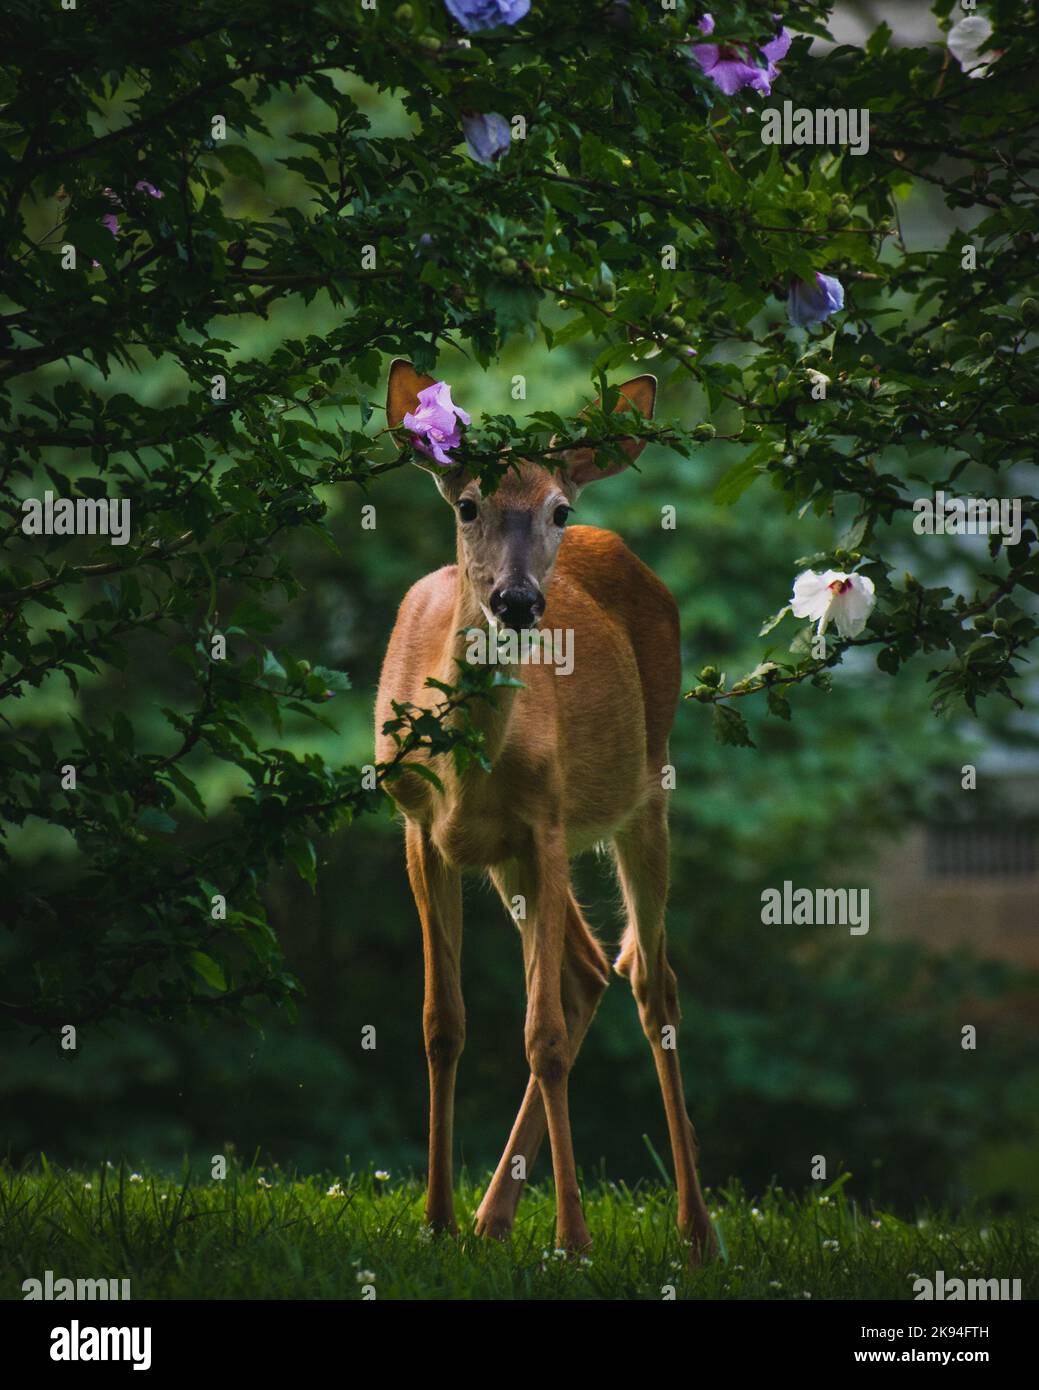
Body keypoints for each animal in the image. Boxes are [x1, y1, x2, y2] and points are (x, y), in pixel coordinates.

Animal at [374, 359, 716, 1260]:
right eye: (466, 505)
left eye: (558, 508)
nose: (520, 601)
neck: (461, 765)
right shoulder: (421, 828)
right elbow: (441, 1025)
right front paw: (435, 1219)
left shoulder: (548, 821)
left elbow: (543, 1039)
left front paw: (572, 1237)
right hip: (512, 860)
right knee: (590, 973)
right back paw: (490, 1217)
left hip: (642, 791)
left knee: (651, 987)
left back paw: (695, 1229)